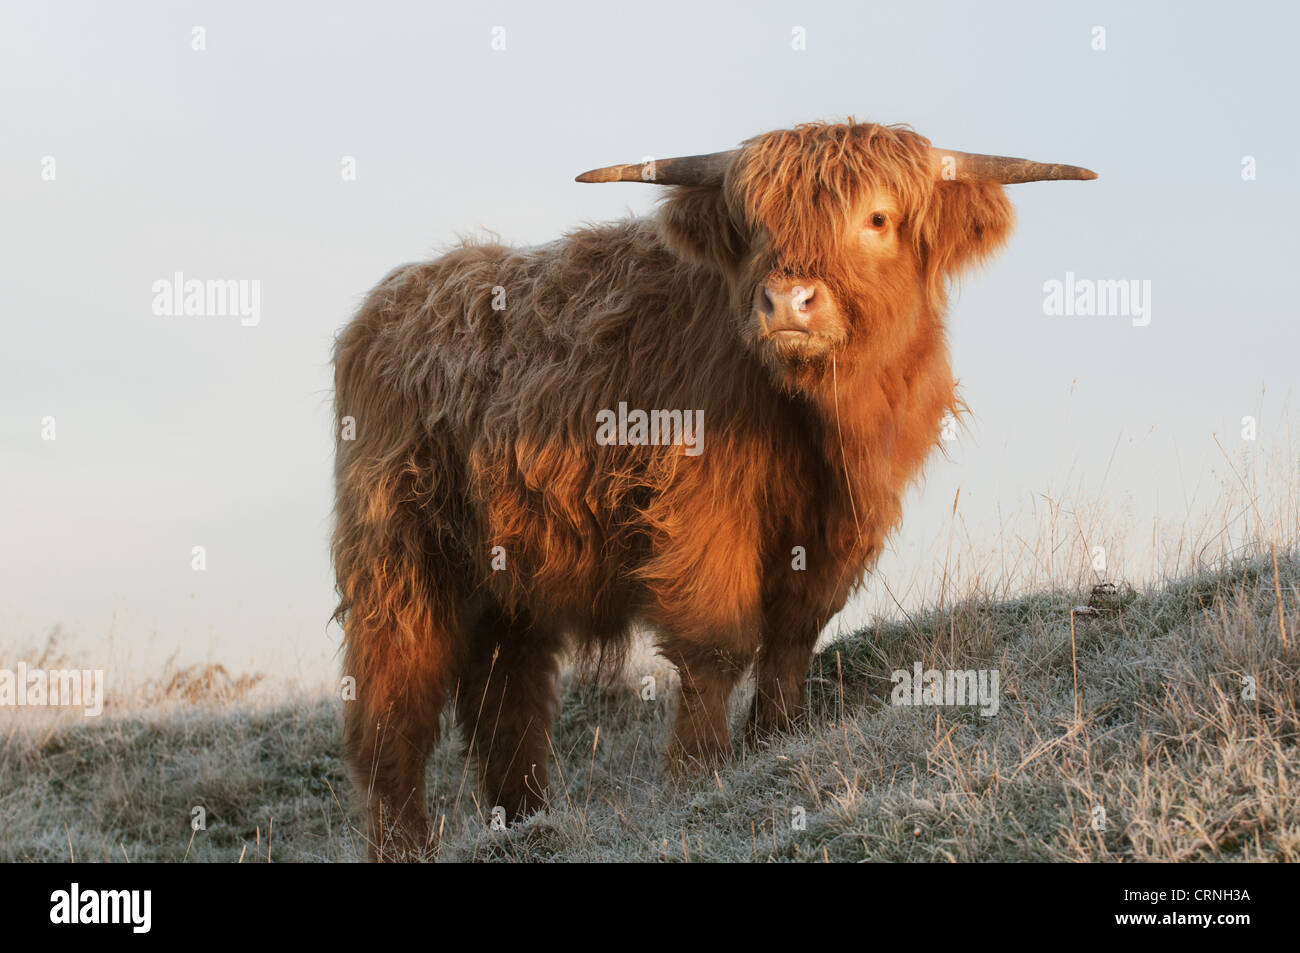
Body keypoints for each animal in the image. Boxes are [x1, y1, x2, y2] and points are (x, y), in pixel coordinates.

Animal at [331, 120, 1095, 859]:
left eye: (877, 218)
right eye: (754, 225)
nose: (788, 301)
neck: (813, 418)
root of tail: (396, 296)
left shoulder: (840, 525)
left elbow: (794, 633)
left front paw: (777, 740)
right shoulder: (702, 512)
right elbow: (717, 644)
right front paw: (698, 772)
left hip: (508, 576)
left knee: (506, 702)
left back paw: (524, 821)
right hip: (398, 559)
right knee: (393, 709)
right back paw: (401, 844)